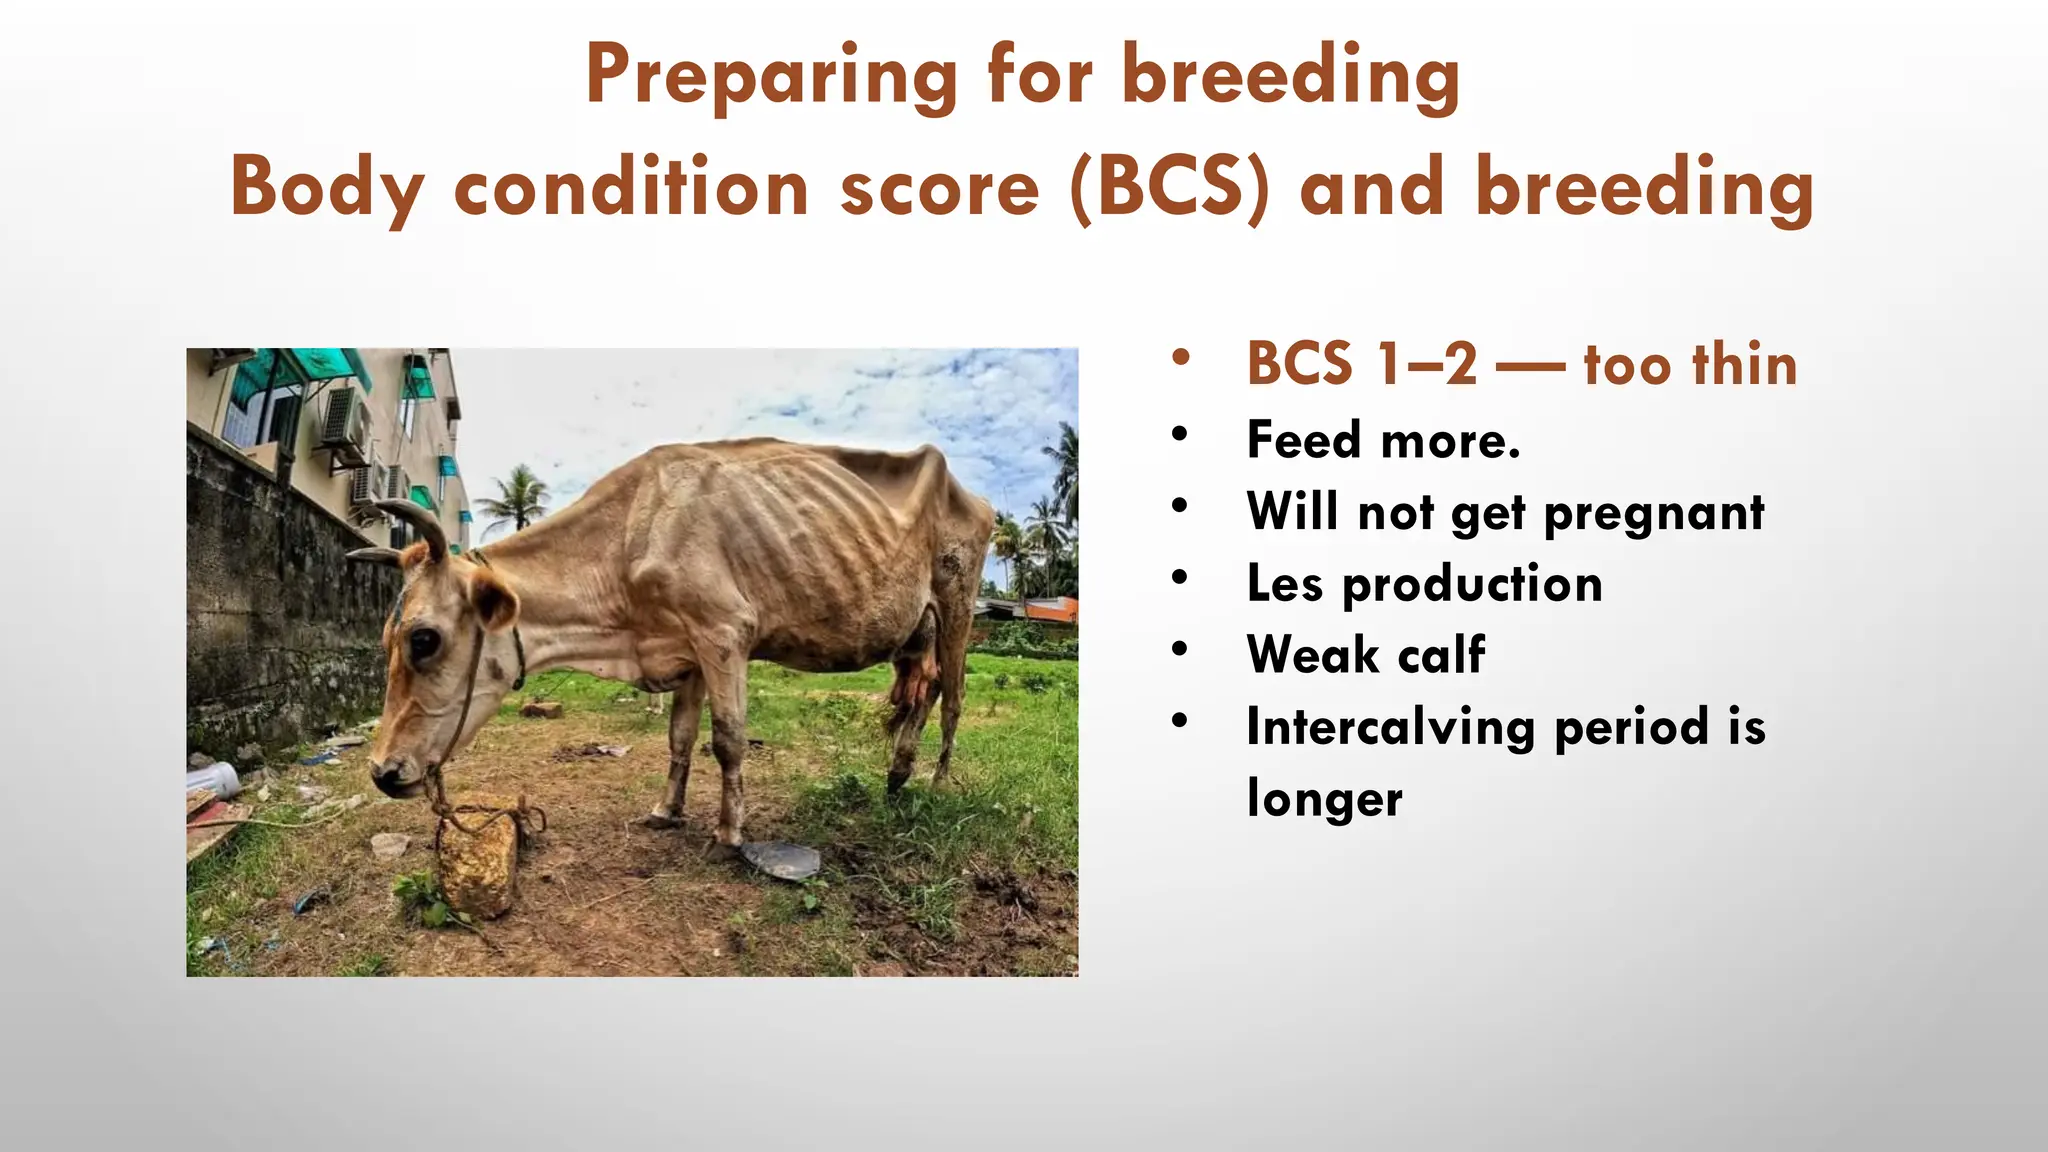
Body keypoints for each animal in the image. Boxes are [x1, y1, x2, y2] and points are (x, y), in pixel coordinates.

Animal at [346, 438, 996, 849]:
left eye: (424, 639)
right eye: (387, 638)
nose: (381, 771)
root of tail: (976, 496)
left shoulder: (724, 632)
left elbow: (728, 740)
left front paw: (730, 833)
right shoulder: (686, 655)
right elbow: (679, 738)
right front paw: (666, 811)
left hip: (958, 605)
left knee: (954, 697)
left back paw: (936, 783)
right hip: (915, 630)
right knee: (923, 692)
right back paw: (897, 775)